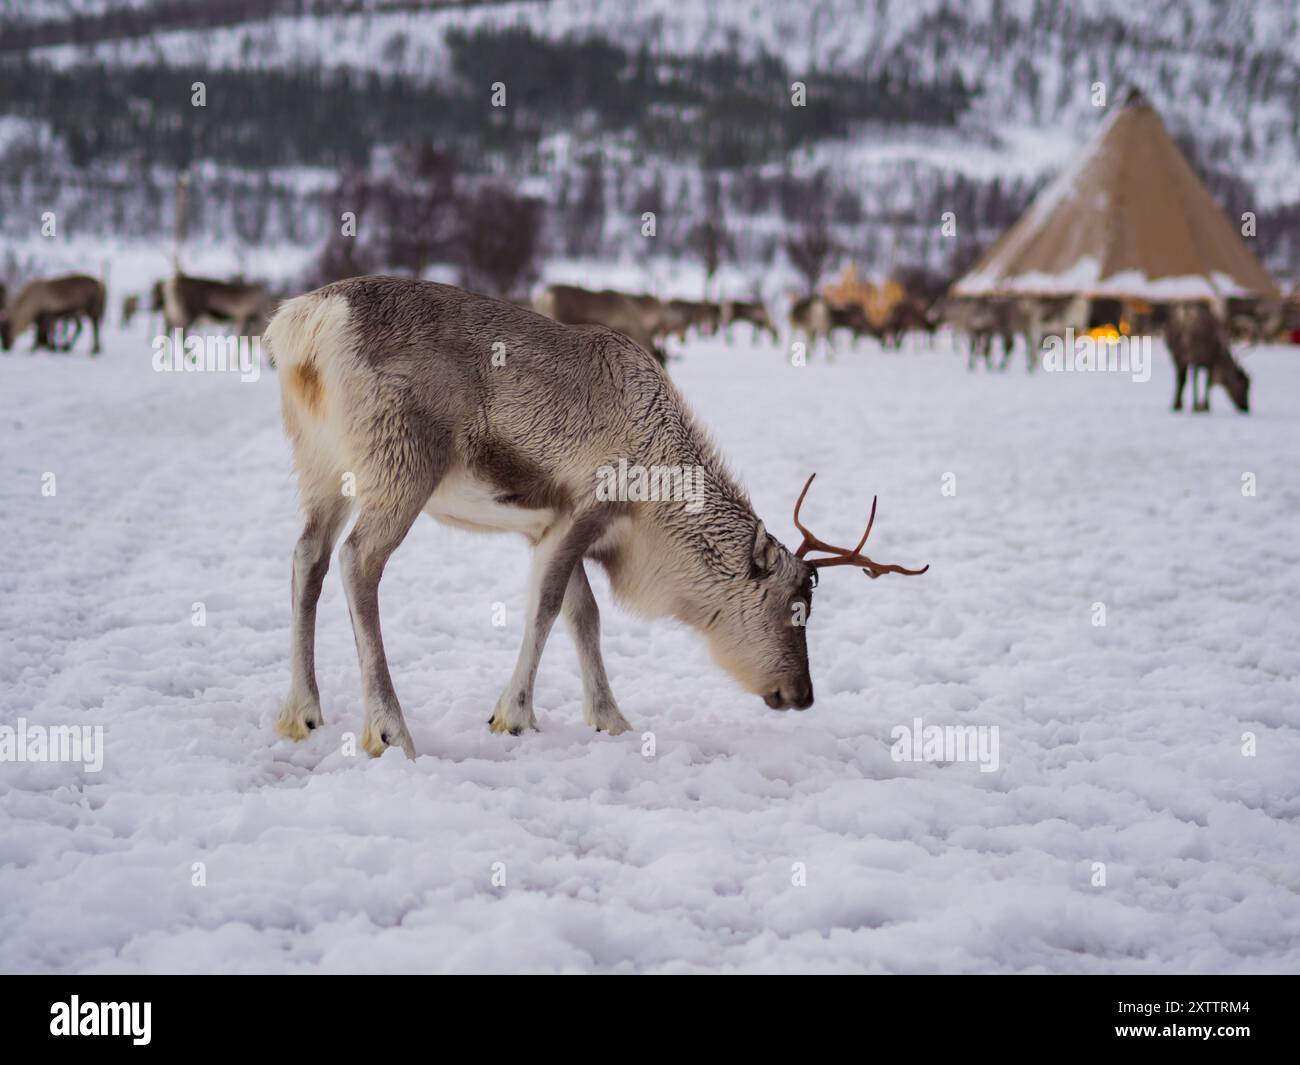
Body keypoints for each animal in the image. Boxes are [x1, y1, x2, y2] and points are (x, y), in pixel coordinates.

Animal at [267, 277, 928, 759]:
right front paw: (513, 715)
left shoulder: (547, 527)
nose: (802, 694)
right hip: (399, 465)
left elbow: (584, 616)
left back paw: (301, 711)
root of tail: (306, 323)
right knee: (358, 562)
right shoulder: (586, 511)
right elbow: (548, 607)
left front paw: (610, 719)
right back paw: (389, 729)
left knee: (307, 558)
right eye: (794, 608)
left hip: (321, 466)